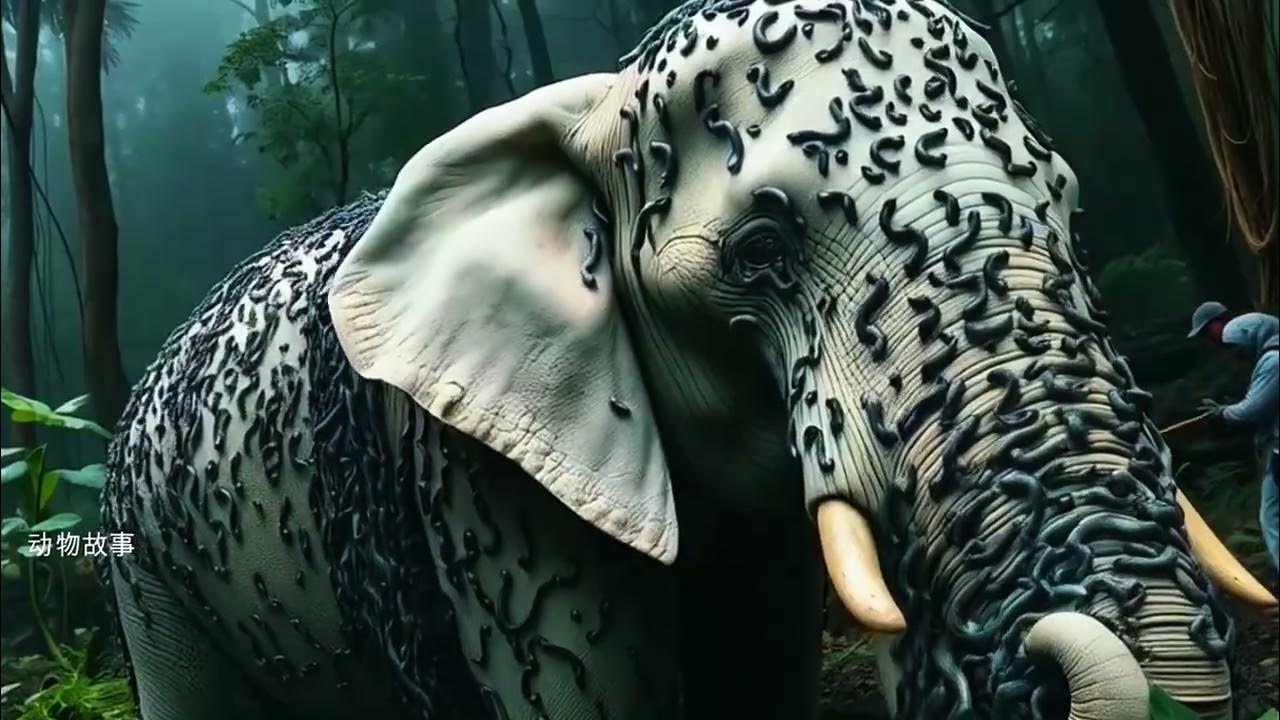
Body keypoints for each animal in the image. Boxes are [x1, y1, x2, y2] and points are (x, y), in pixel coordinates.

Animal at [99, 1, 1279, 719]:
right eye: (759, 251)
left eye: (1070, 209)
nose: (1034, 649)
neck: (596, 93)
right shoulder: (478, 484)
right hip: (148, 571)